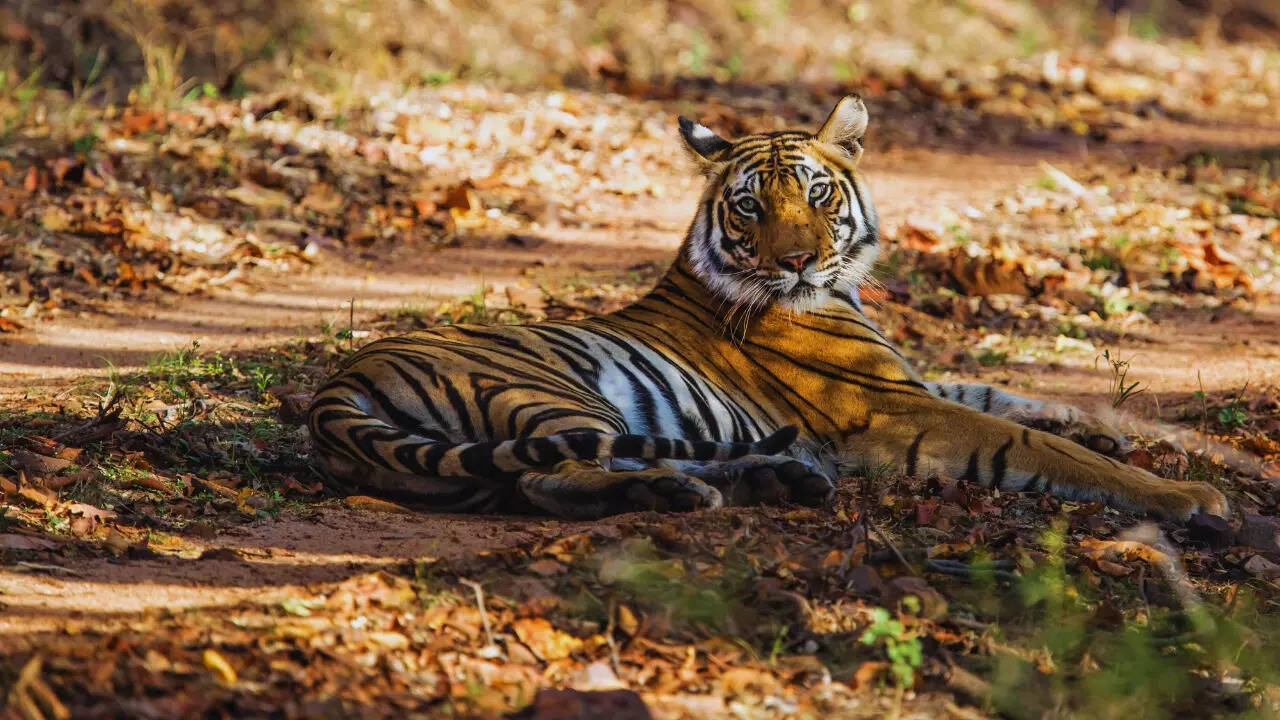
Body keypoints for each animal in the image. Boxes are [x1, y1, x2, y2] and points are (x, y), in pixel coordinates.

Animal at [307, 95, 1228, 521]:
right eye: (751, 205)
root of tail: (334, 388)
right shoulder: (895, 408)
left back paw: (773, 477)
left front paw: (1106, 428)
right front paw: (1187, 496)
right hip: (551, 394)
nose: (796, 261)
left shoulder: (909, 380)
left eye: (817, 193)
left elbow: (1008, 393)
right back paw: (693, 493)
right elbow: (1026, 439)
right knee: (548, 477)